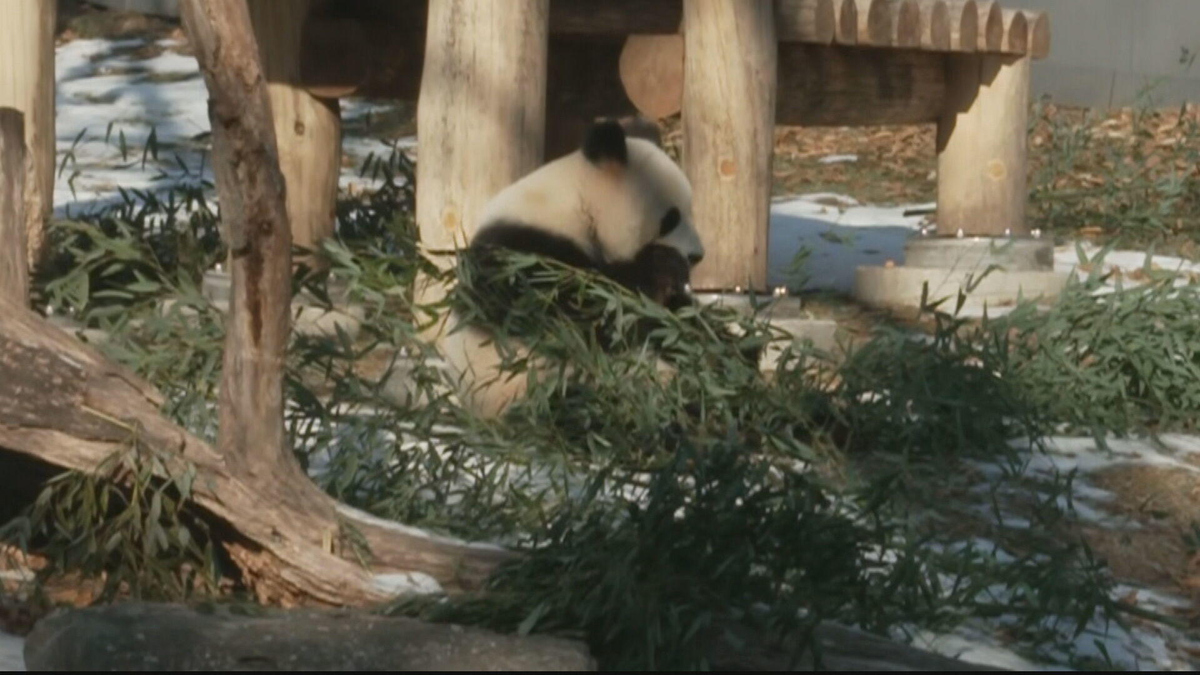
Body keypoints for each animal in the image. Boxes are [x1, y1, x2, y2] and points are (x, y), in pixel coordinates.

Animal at [438, 120, 707, 419]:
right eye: (671, 218)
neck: (577, 202)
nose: (697, 255)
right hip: (532, 393)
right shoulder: (520, 257)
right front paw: (664, 267)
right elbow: (581, 316)